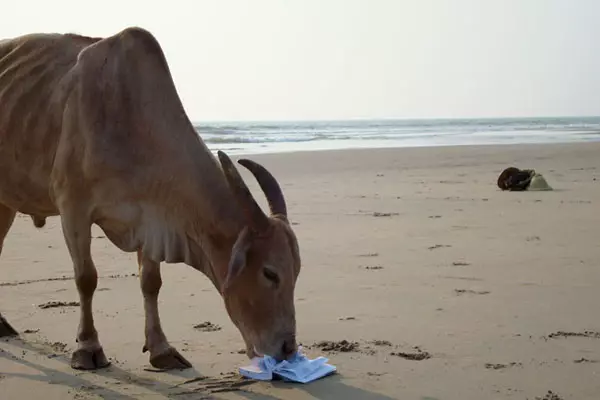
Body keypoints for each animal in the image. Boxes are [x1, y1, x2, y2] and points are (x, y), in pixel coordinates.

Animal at [0, 27, 302, 372]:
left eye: (297, 272)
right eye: (269, 273)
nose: (287, 348)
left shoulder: (153, 218)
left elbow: (151, 282)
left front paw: (161, 349)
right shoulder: (73, 209)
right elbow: (86, 278)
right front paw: (88, 347)